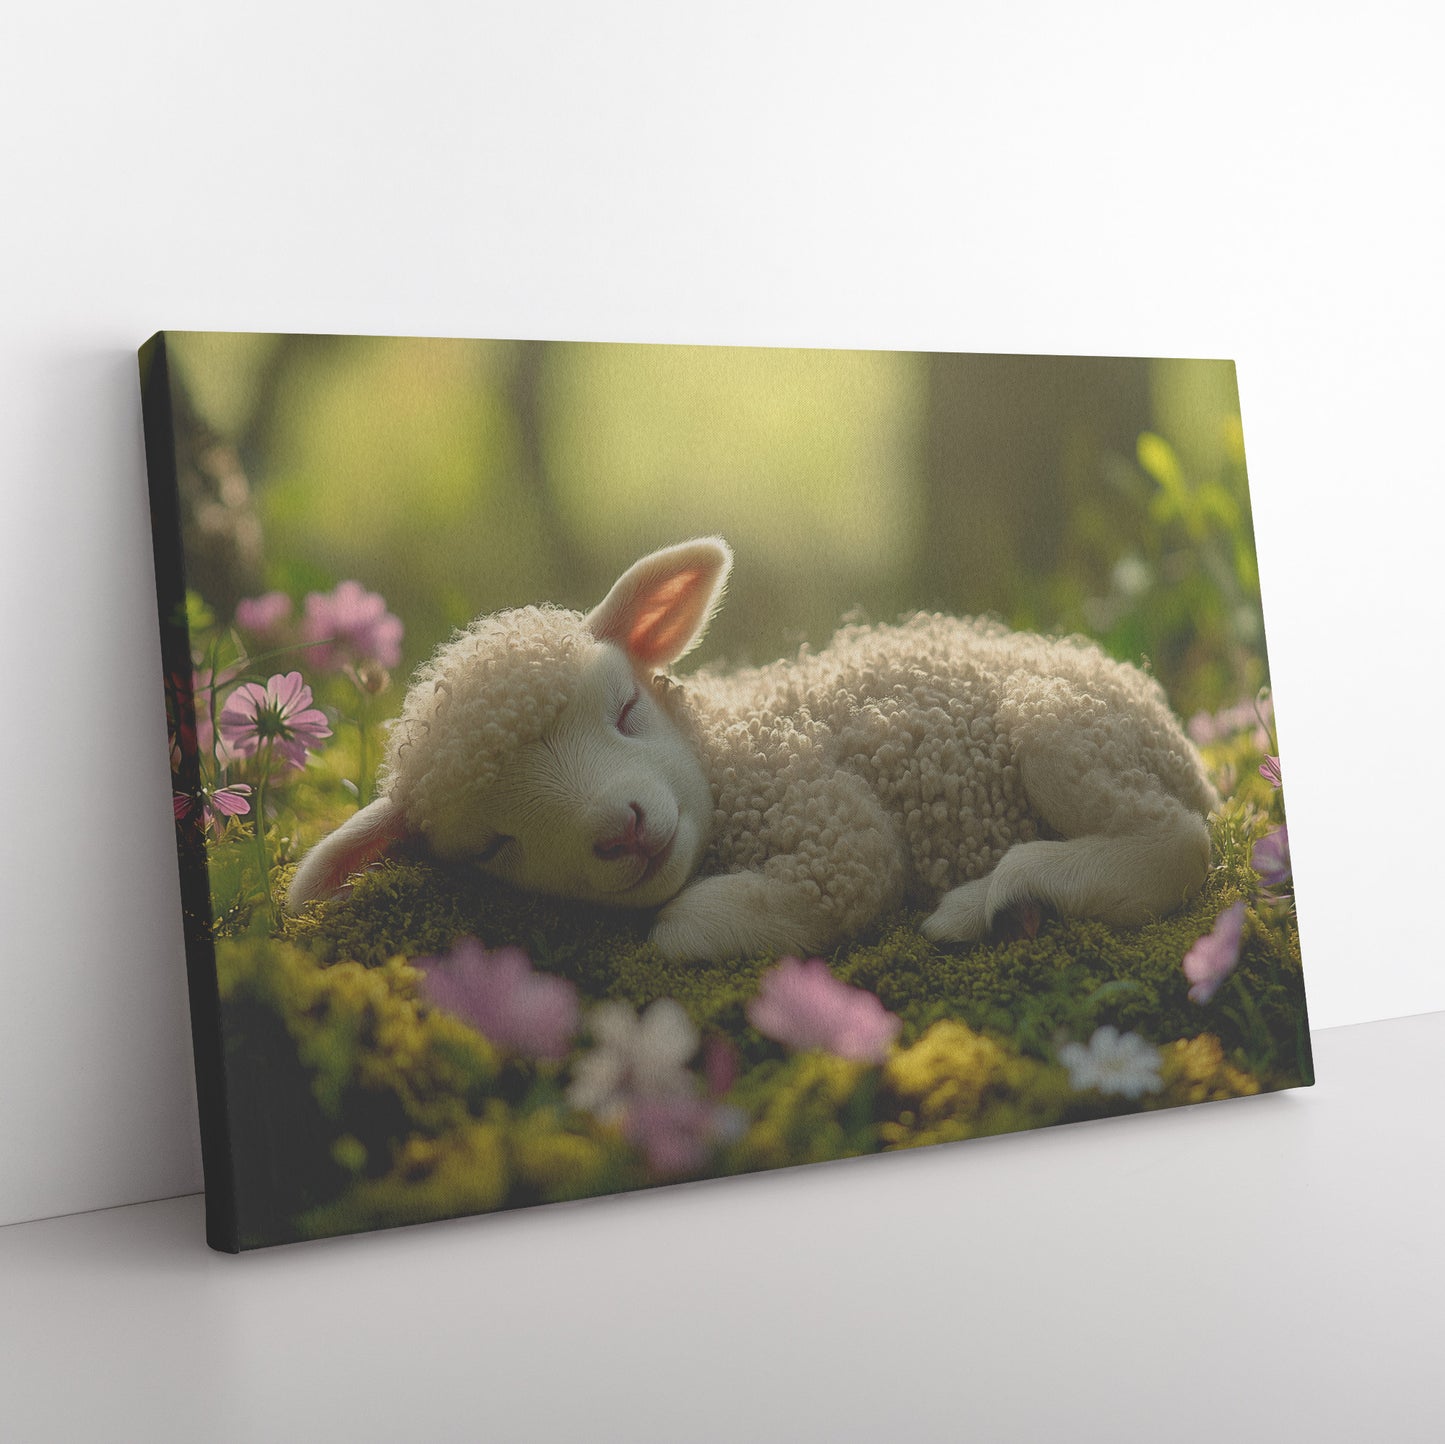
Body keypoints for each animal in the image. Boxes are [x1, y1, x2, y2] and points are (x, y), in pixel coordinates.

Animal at [286, 538, 1220, 963]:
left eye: (625, 708)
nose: (622, 830)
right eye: (492, 845)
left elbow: (680, 928)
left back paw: (988, 899)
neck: (728, 747)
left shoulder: (832, 829)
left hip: (1067, 724)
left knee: (1173, 844)